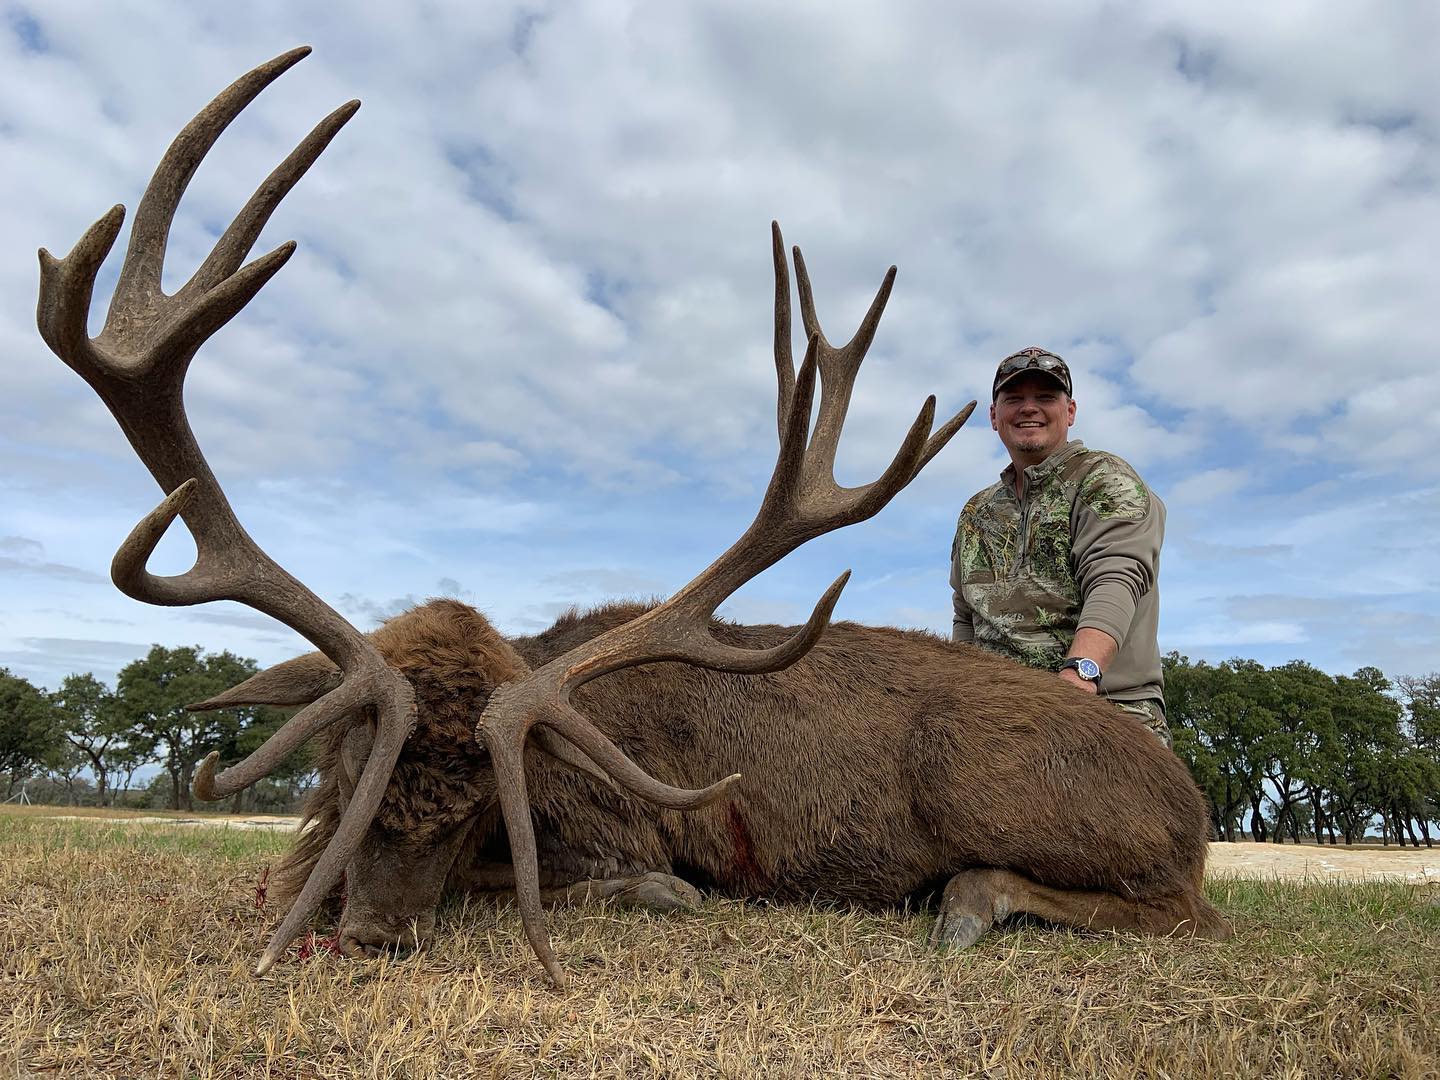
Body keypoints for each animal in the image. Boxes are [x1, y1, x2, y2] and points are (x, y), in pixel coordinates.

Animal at [36, 48, 1231, 987]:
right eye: (342, 769)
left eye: (479, 806)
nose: (372, 933)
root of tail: (1193, 801)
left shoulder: (615, 832)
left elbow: (647, 886)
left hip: (994, 788)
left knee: (1188, 911)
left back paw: (972, 901)